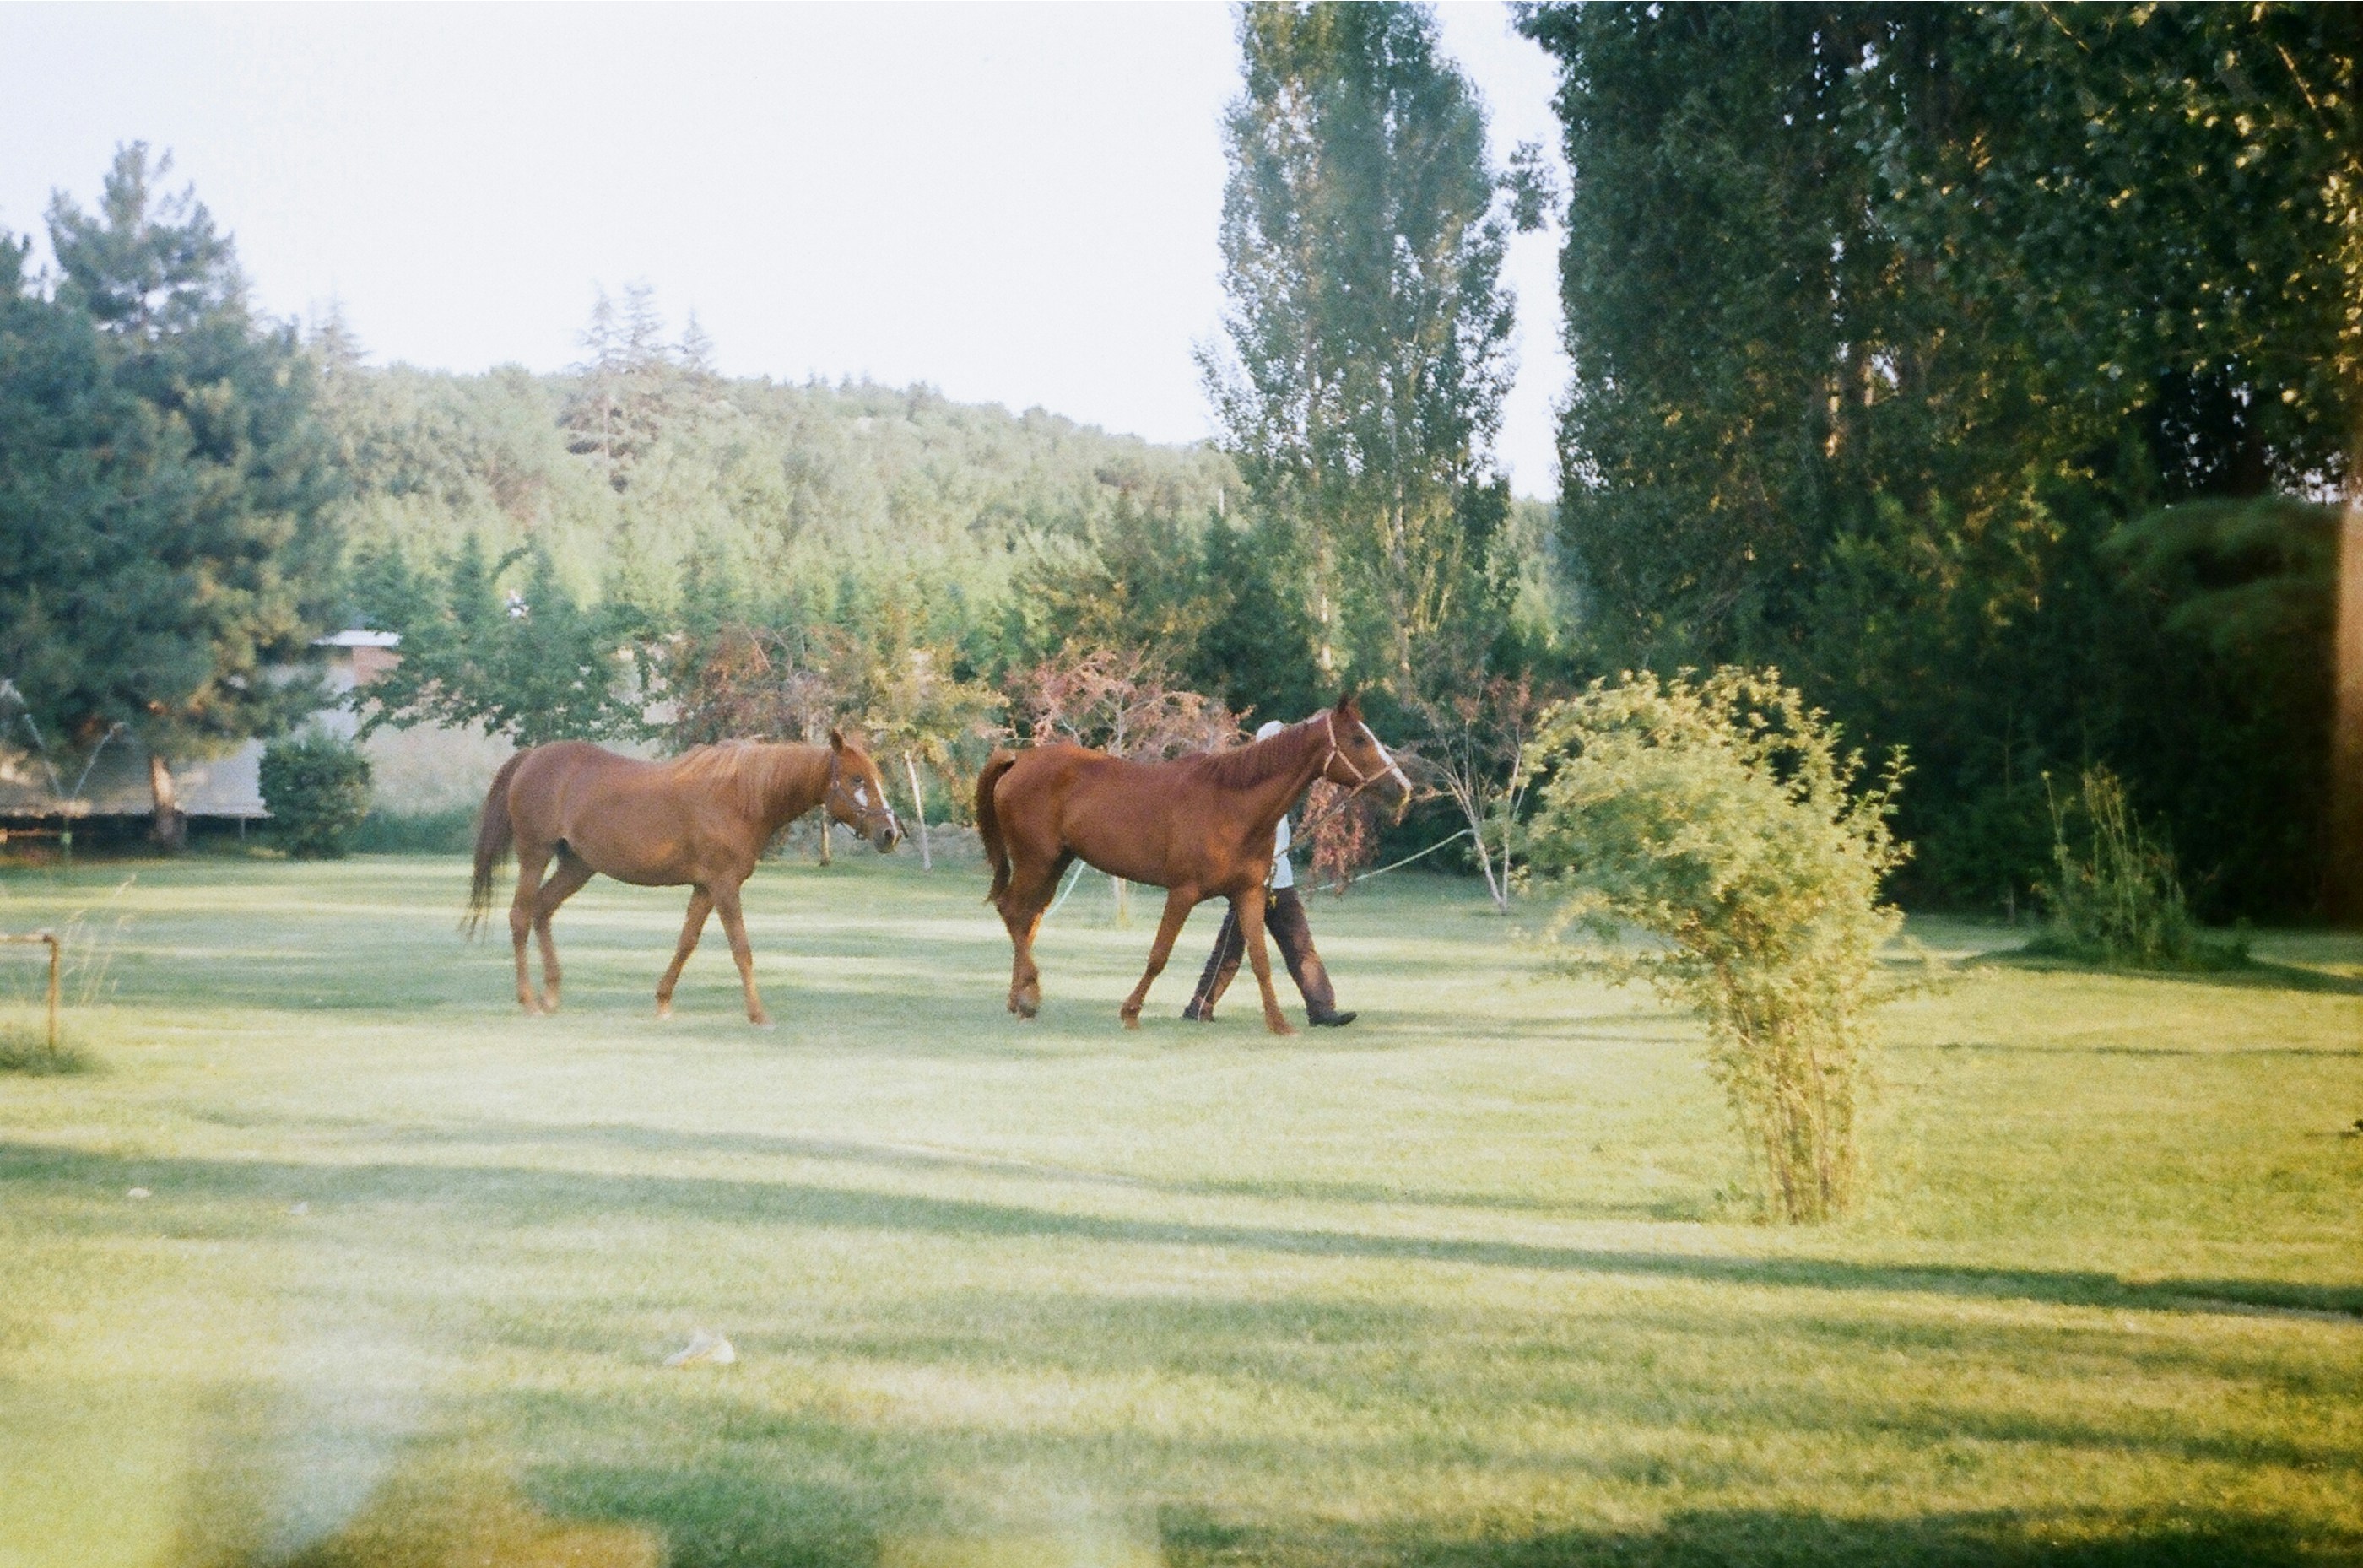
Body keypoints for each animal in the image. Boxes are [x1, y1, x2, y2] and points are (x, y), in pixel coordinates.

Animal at [467, 733, 902, 1024]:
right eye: (857, 779)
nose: (890, 834)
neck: (741, 796)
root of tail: (532, 757)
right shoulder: (724, 885)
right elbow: (741, 949)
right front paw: (758, 1014)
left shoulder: (706, 888)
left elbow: (686, 943)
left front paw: (662, 1002)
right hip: (535, 855)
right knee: (520, 916)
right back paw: (529, 1000)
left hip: (577, 865)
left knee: (541, 910)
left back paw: (551, 995)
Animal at [974, 694, 1411, 1034]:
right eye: (1358, 738)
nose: (1402, 788)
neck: (1231, 804)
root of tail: (1018, 760)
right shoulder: (1182, 893)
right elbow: (1159, 955)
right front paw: (1130, 1012)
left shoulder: (1249, 894)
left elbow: (1261, 960)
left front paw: (1279, 1023)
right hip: (1036, 861)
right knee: (1013, 912)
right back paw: (1029, 997)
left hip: (1054, 864)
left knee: (1028, 919)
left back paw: (1020, 1000)